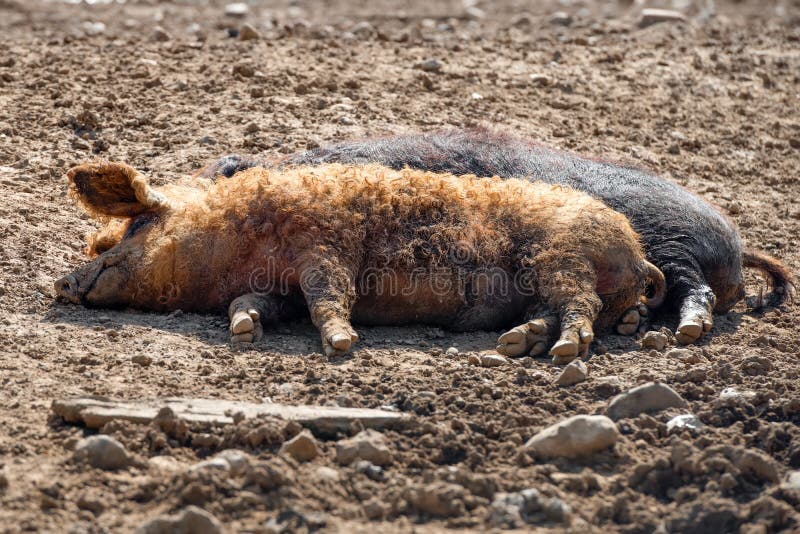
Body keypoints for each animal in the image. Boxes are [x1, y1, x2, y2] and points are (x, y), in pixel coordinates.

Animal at [55, 161, 665, 363]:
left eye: (132, 227)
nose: (61, 284)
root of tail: (639, 256)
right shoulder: (276, 286)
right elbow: (254, 303)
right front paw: (245, 331)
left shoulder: (325, 246)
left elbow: (329, 295)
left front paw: (341, 345)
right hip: (548, 278)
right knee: (554, 312)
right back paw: (519, 344)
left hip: (565, 255)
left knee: (579, 305)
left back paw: (562, 352)